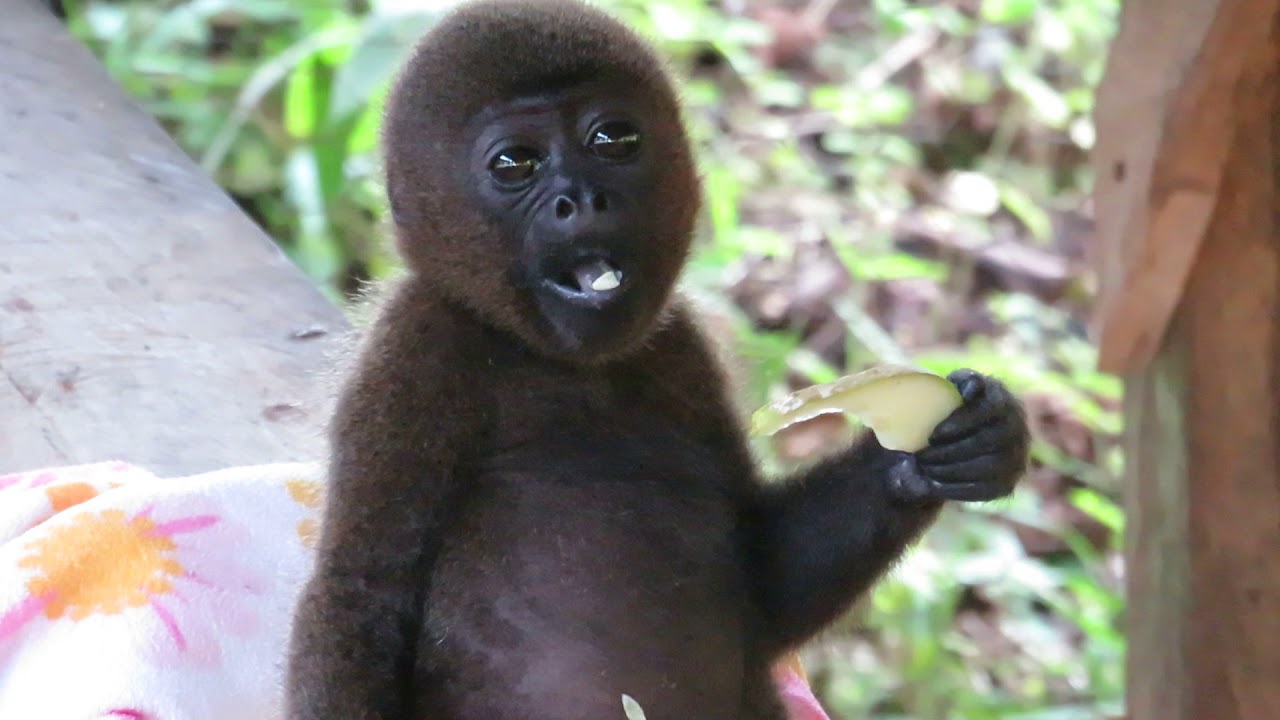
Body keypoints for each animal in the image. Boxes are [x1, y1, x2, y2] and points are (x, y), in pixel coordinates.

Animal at [283, 1, 1031, 718]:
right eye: (514, 164)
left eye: (613, 140)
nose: (583, 198)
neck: (553, 361)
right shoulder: (412, 354)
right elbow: (361, 600)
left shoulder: (683, 349)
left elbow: (766, 585)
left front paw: (964, 444)